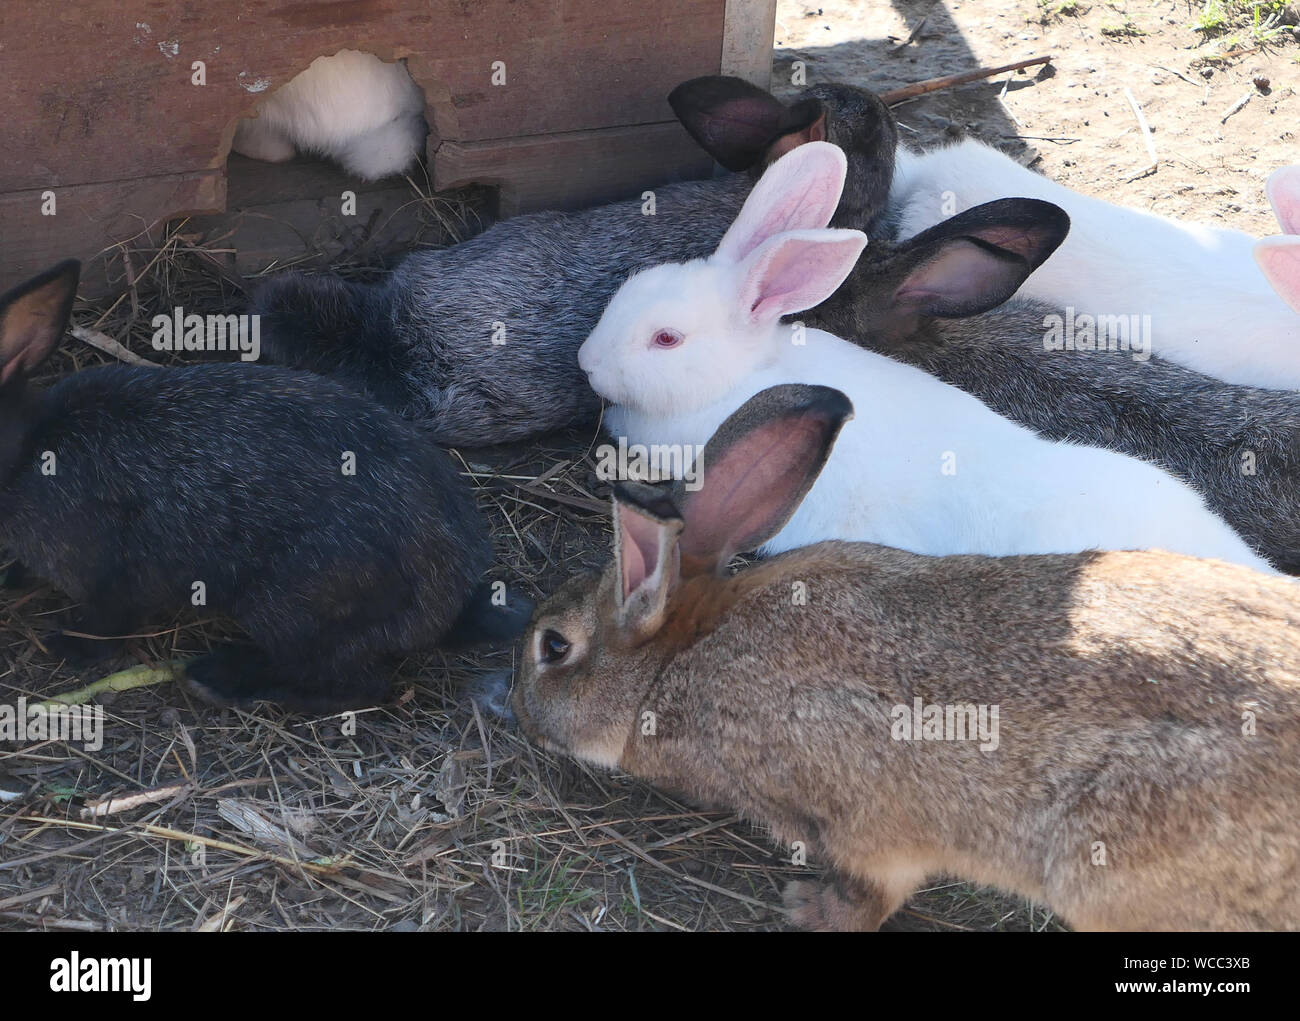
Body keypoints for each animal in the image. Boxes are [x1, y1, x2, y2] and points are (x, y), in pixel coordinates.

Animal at [0, 261, 525, 713]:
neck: (27, 453)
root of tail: (448, 602)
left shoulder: (112, 578)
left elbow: (108, 624)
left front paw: (67, 646)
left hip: (293, 608)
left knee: (357, 684)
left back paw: (219, 679)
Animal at [511, 382, 1300, 931]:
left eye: (554, 646)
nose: (516, 712)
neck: (674, 665)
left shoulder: (863, 818)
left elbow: (873, 889)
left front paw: (807, 909)